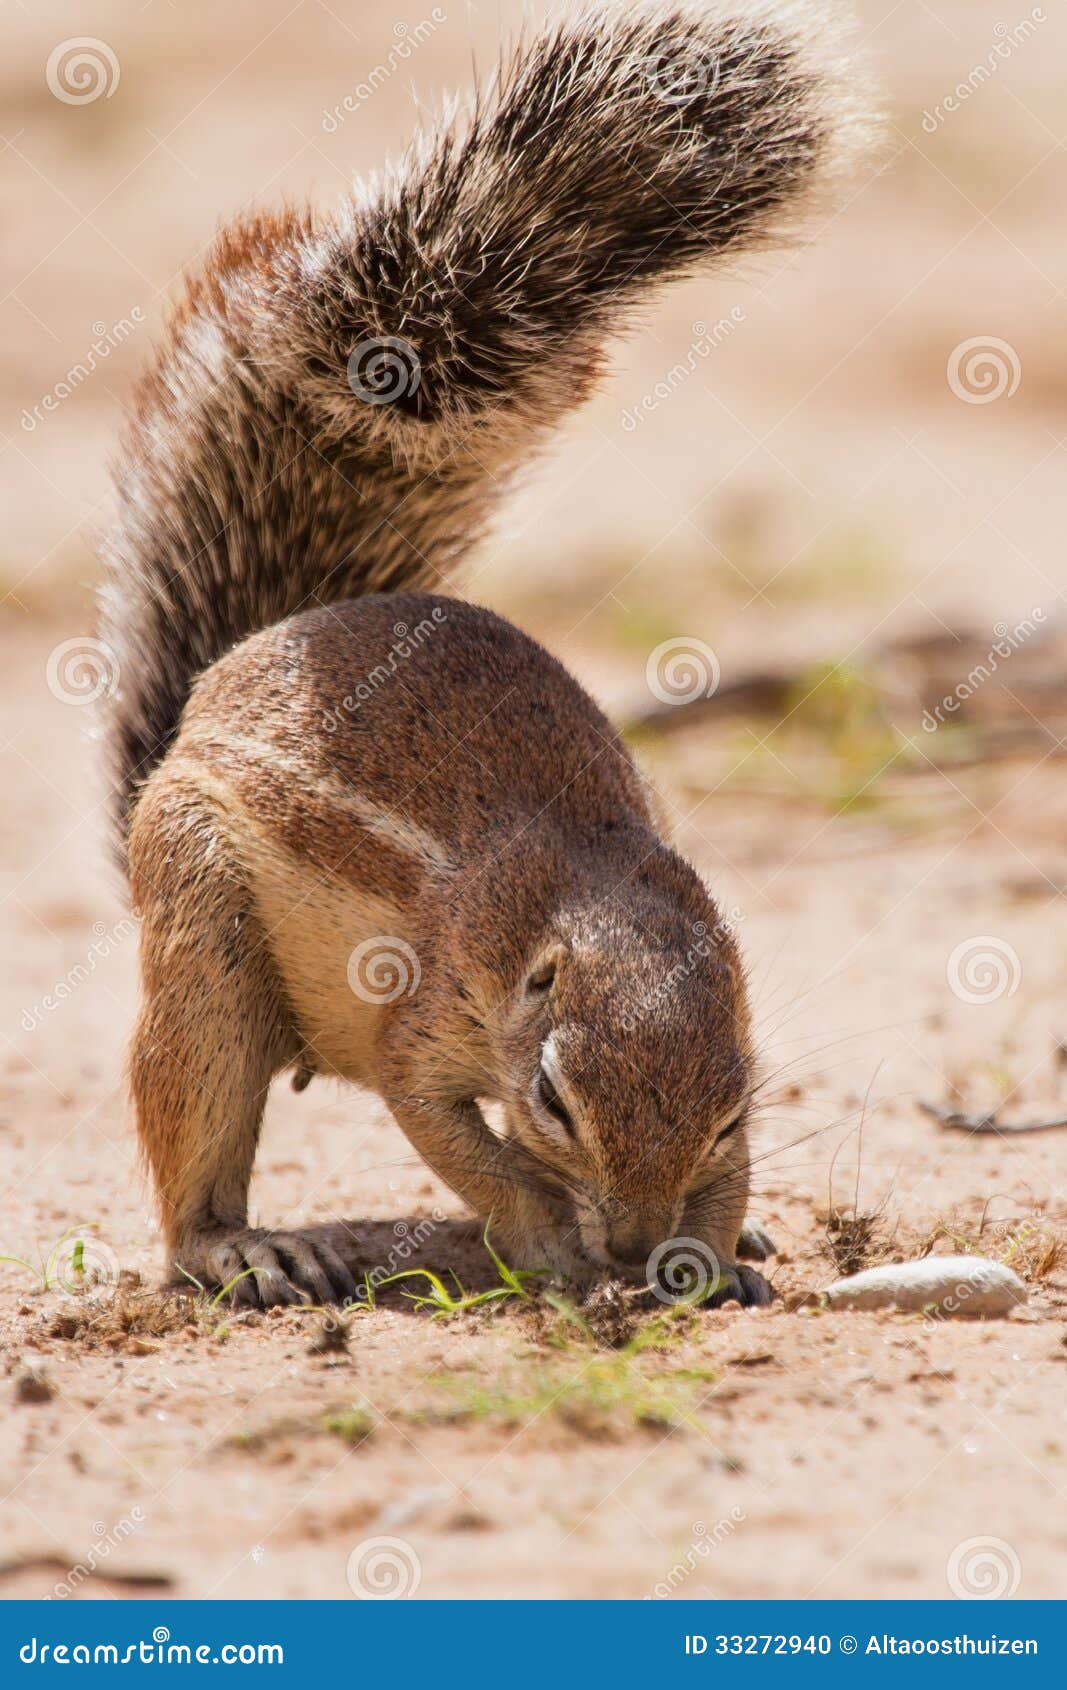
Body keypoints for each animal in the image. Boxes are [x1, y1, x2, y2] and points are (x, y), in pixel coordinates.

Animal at [100, 2, 867, 1308]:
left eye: (729, 1114)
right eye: (554, 1099)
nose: (631, 1243)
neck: (581, 894)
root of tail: (225, 673)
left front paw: (720, 1249)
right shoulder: (428, 1019)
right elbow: (463, 1143)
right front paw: (555, 1245)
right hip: (200, 931)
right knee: (192, 1123)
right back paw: (241, 1247)